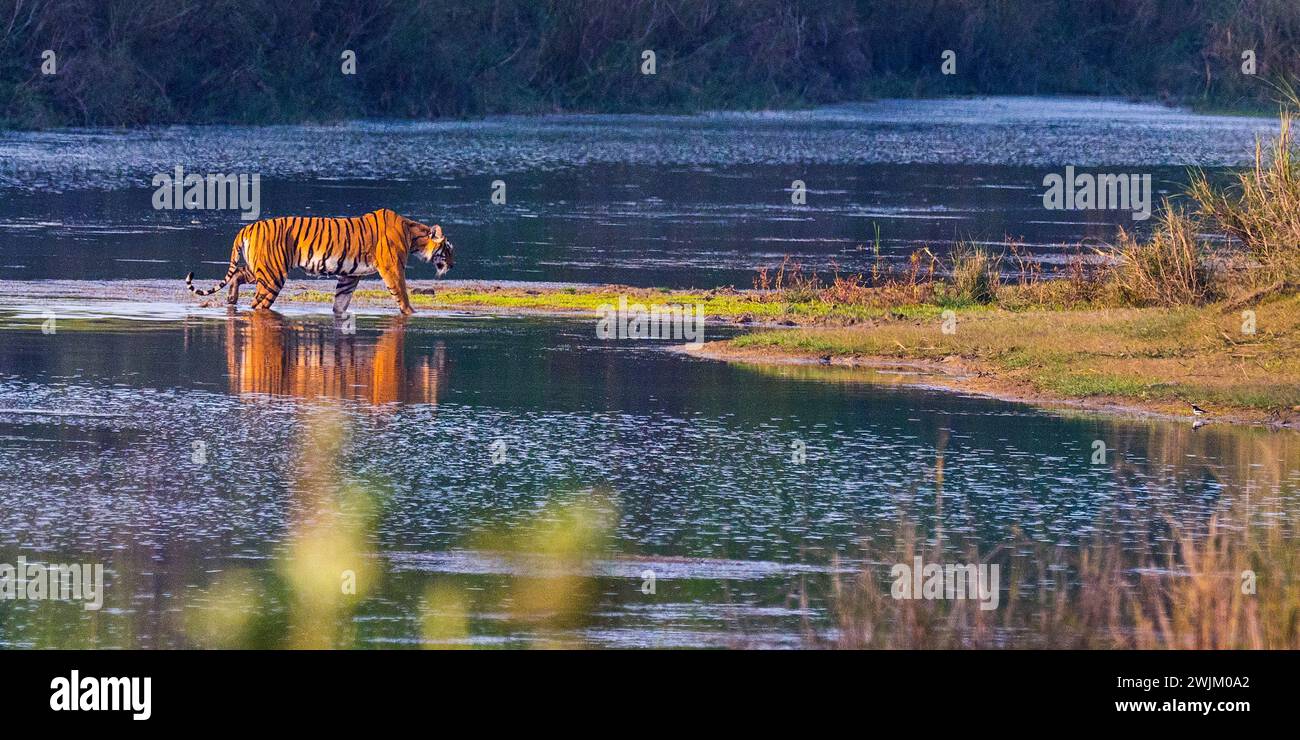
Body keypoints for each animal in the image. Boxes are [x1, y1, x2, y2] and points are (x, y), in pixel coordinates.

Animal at [185, 208, 454, 315]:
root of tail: (248, 226)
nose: (453, 265)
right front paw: (412, 313)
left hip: (262, 268)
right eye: (448, 249)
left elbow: (341, 300)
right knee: (258, 304)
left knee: (239, 274)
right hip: (273, 275)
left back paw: (231, 299)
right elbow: (402, 292)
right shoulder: (392, 267)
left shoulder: (350, 274)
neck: (413, 234)